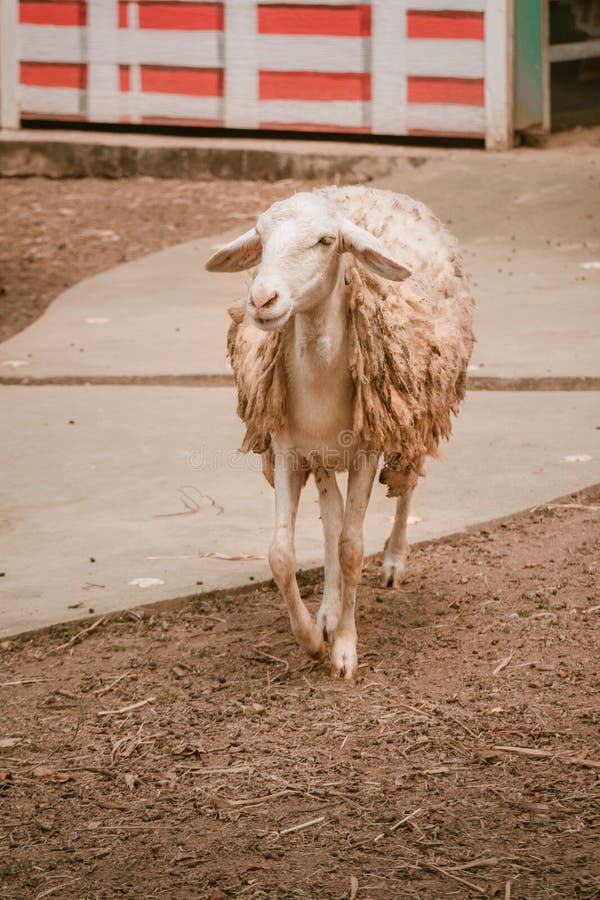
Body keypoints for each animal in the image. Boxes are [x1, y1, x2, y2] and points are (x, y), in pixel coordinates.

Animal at [206, 185, 474, 679]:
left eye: (327, 241)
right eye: (260, 237)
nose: (262, 301)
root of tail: (371, 189)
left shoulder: (368, 450)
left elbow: (352, 548)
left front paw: (345, 649)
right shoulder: (290, 451)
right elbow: (283, 553)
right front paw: (313, 639)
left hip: (411, 419)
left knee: (406, 486)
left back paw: (393, 560)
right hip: (325, 457)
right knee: (331, 519)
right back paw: (329, 610)